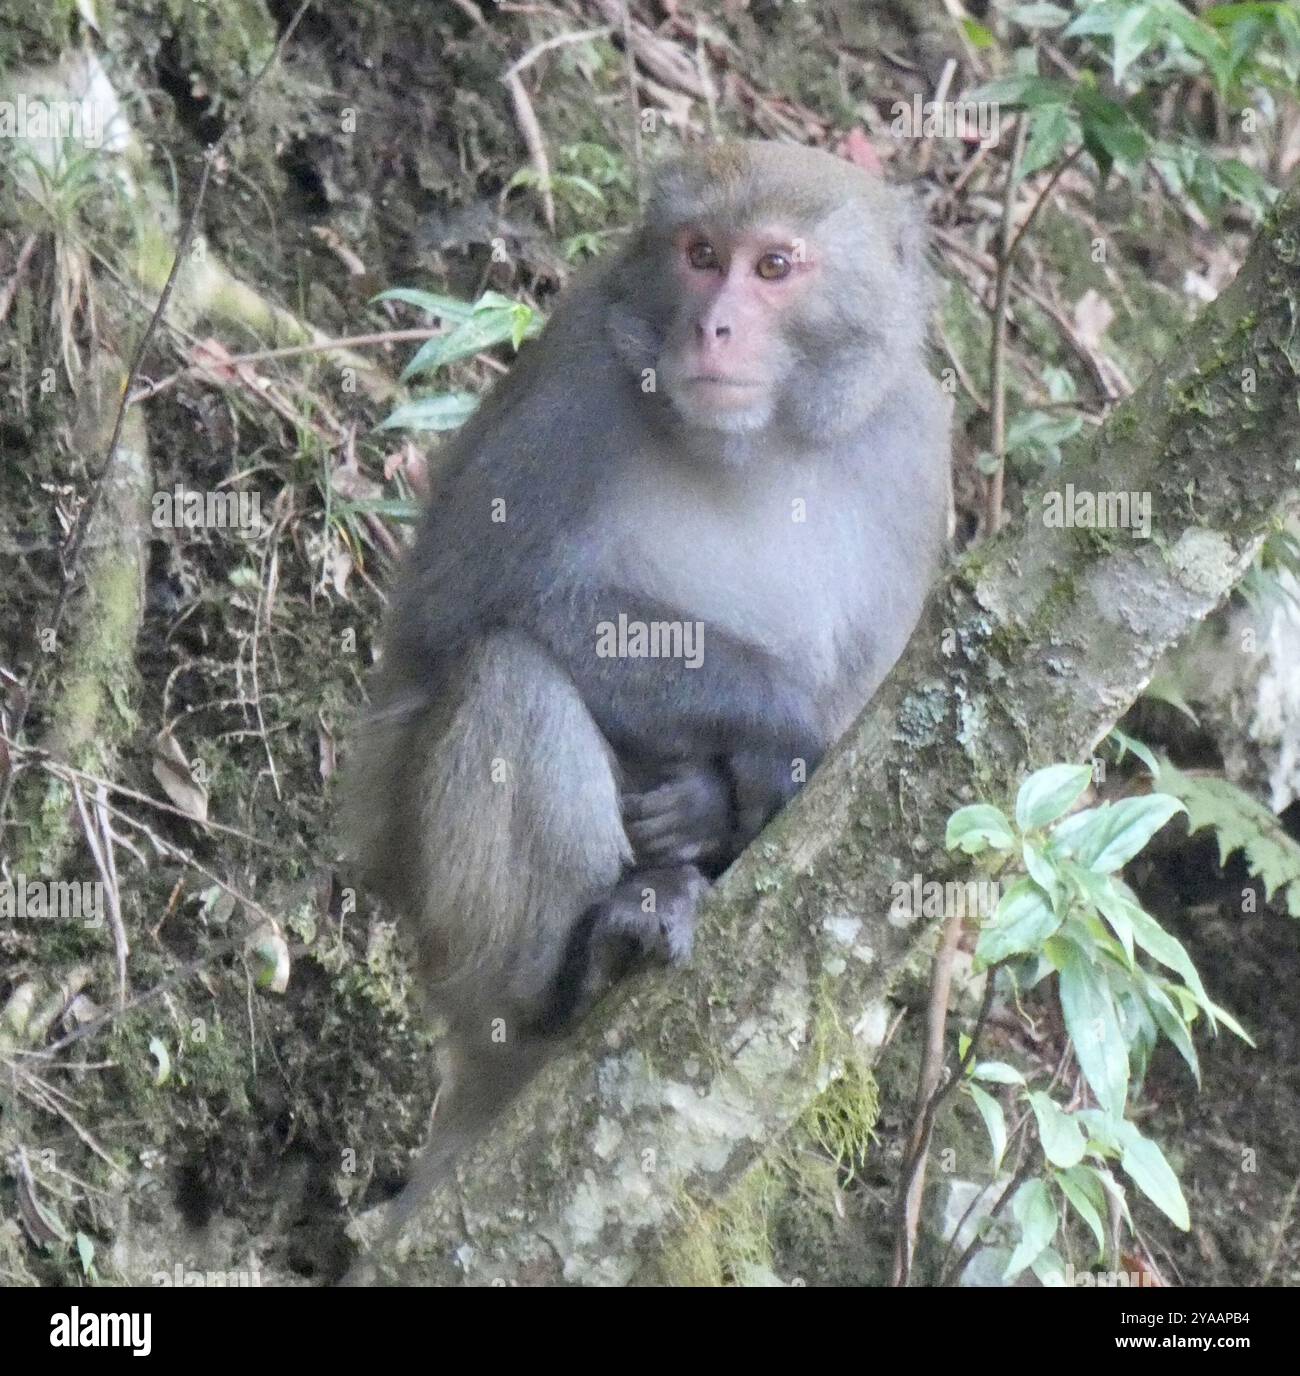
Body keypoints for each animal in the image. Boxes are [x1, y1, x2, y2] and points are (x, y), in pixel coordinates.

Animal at [342, 140, 951, 1250]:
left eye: (773, 267)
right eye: (700, 253)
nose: (710, 326)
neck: (756, 445)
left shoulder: (916, 458)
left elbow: (871, 741)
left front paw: (712, 802)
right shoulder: (576, 371)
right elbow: (473, 599)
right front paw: (768, 732)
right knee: (510, 675)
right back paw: (569, 982)